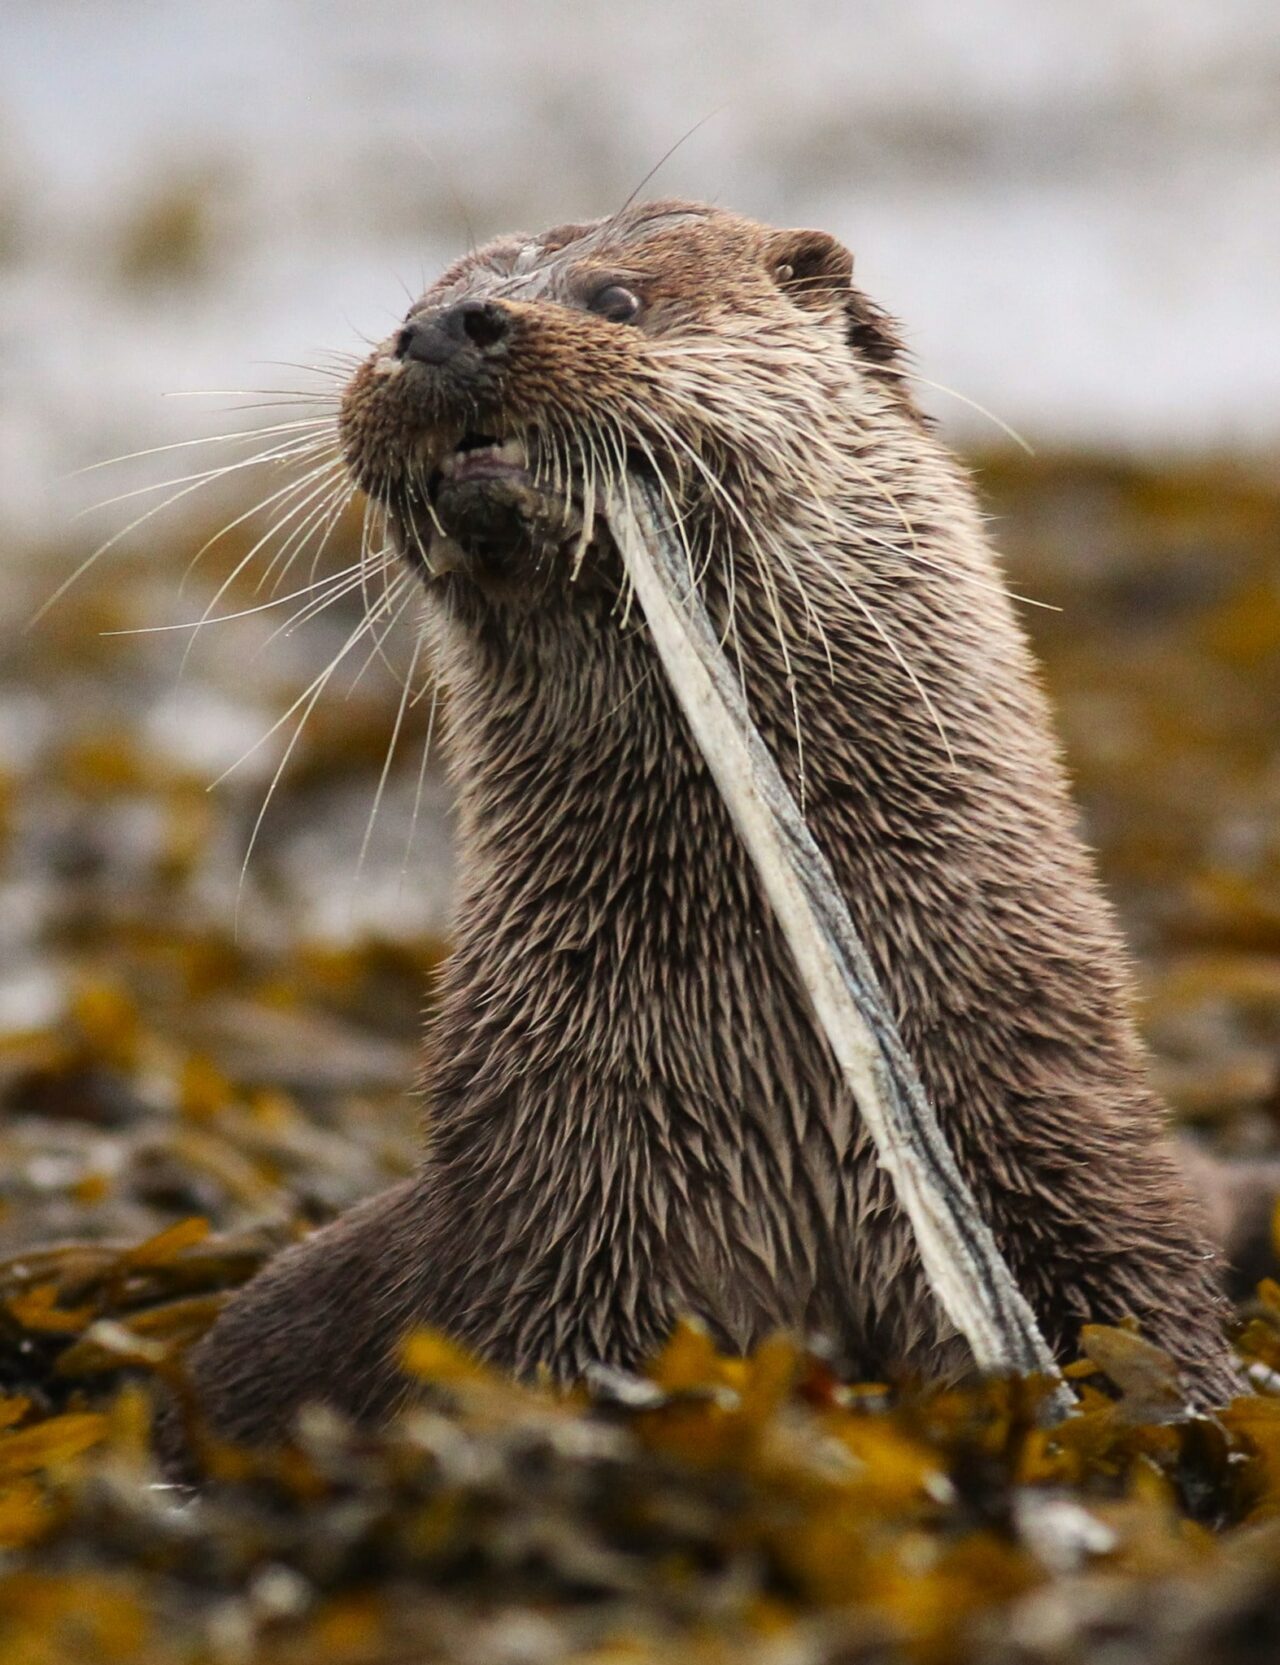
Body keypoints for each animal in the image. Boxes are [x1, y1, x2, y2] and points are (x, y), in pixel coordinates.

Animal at [177, 200, 1243, 1447]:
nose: (439, 329)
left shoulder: (1079, 1176)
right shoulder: (562, 1238)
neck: (772, 1073)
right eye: (407, 311)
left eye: (618, 300)